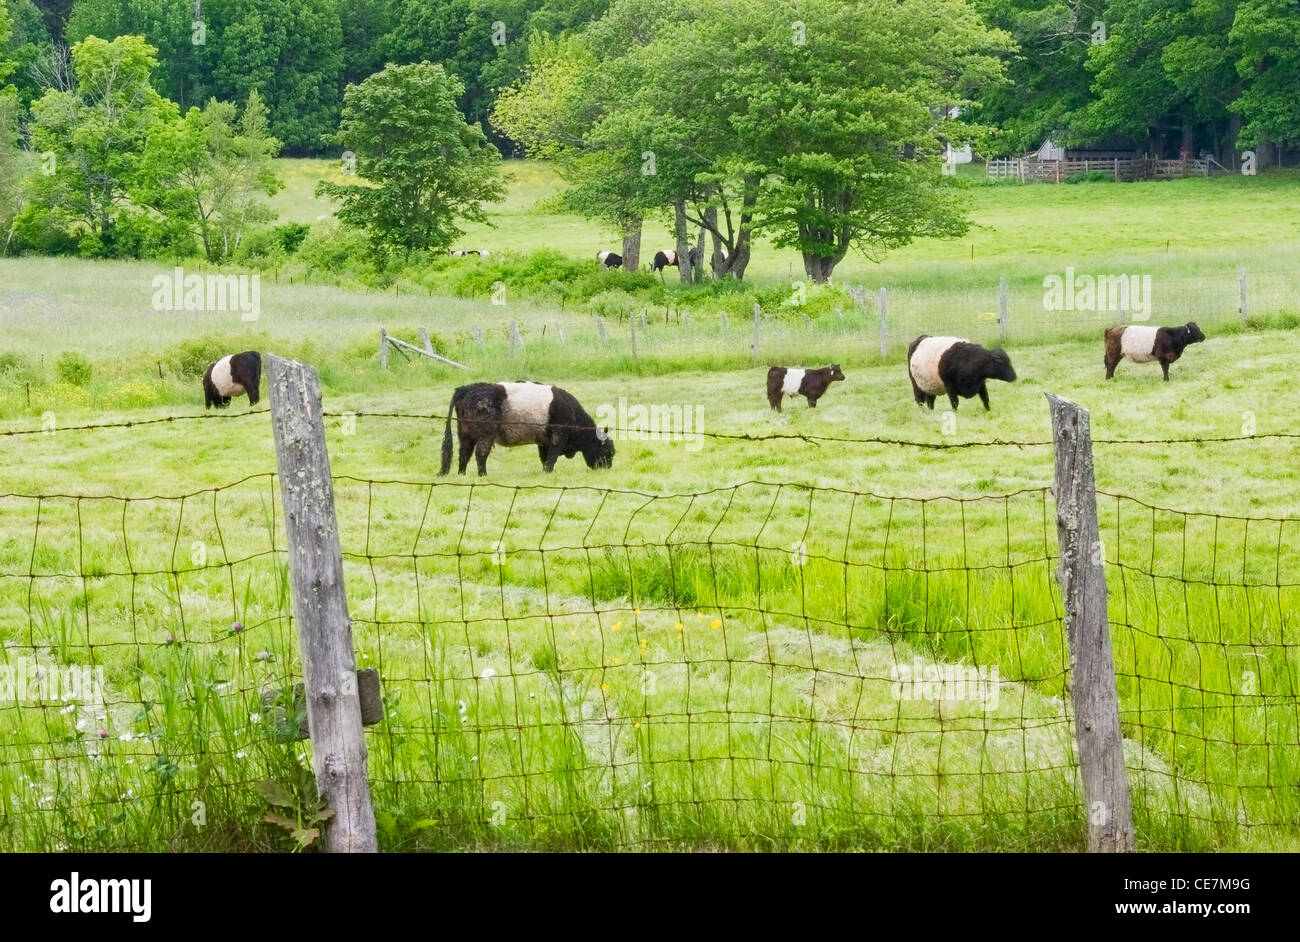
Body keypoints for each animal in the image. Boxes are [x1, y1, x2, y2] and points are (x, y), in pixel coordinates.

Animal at [439, 381, 615, 476]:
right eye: (608, 452)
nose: (607, 469)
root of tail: (466, 388)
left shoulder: (543, 441)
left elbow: (544, 458)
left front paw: (545, 472)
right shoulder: (559, 435)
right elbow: (552, 456)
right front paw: (549, 472)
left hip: (465, 434)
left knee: (464, 454)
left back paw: (462, 474)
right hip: (486, 433)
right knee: (481, 453)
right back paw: (483, 475)